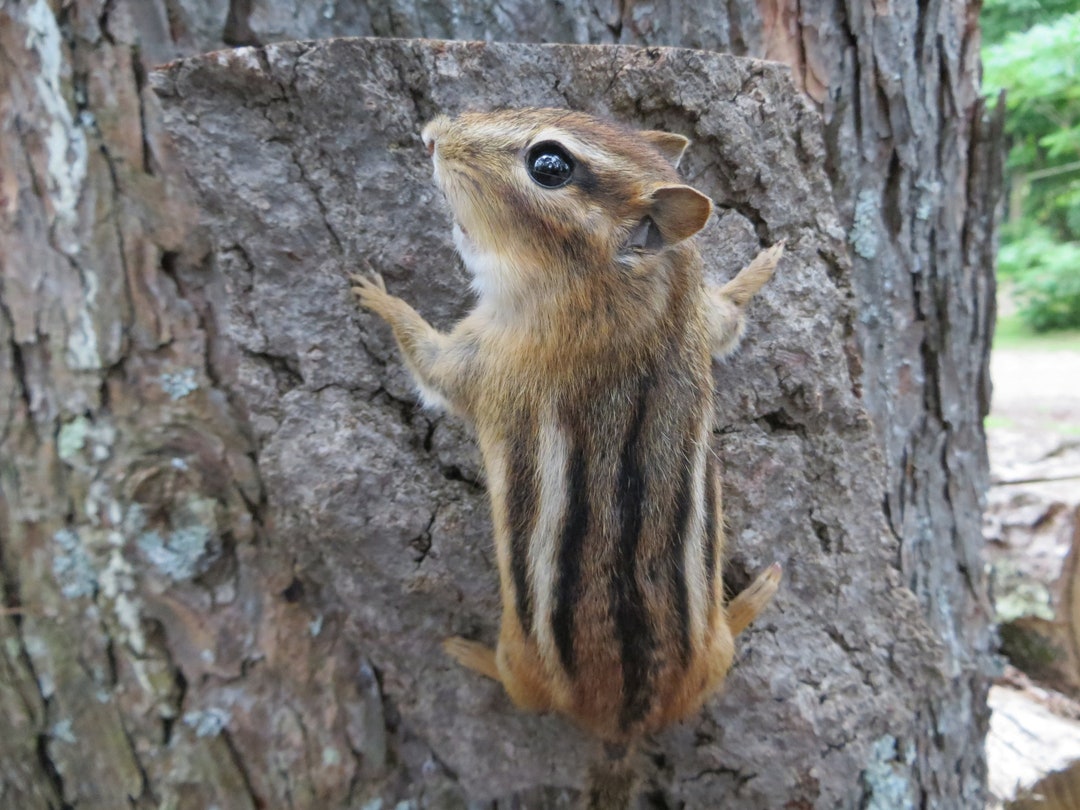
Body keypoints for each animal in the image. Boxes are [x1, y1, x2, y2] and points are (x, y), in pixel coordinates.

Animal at [351, 108, 783, 807]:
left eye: (549, 165)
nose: (432, 134)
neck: (643, 298)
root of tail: (621, 723)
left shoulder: (487, 358)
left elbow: (429, 363)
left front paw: (376, 293)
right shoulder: (700, 318)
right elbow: (729, 319)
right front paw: (761, 266)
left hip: (522, 653)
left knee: (520, 691)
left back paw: (465, 652)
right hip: (713, 654)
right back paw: (756, 597)